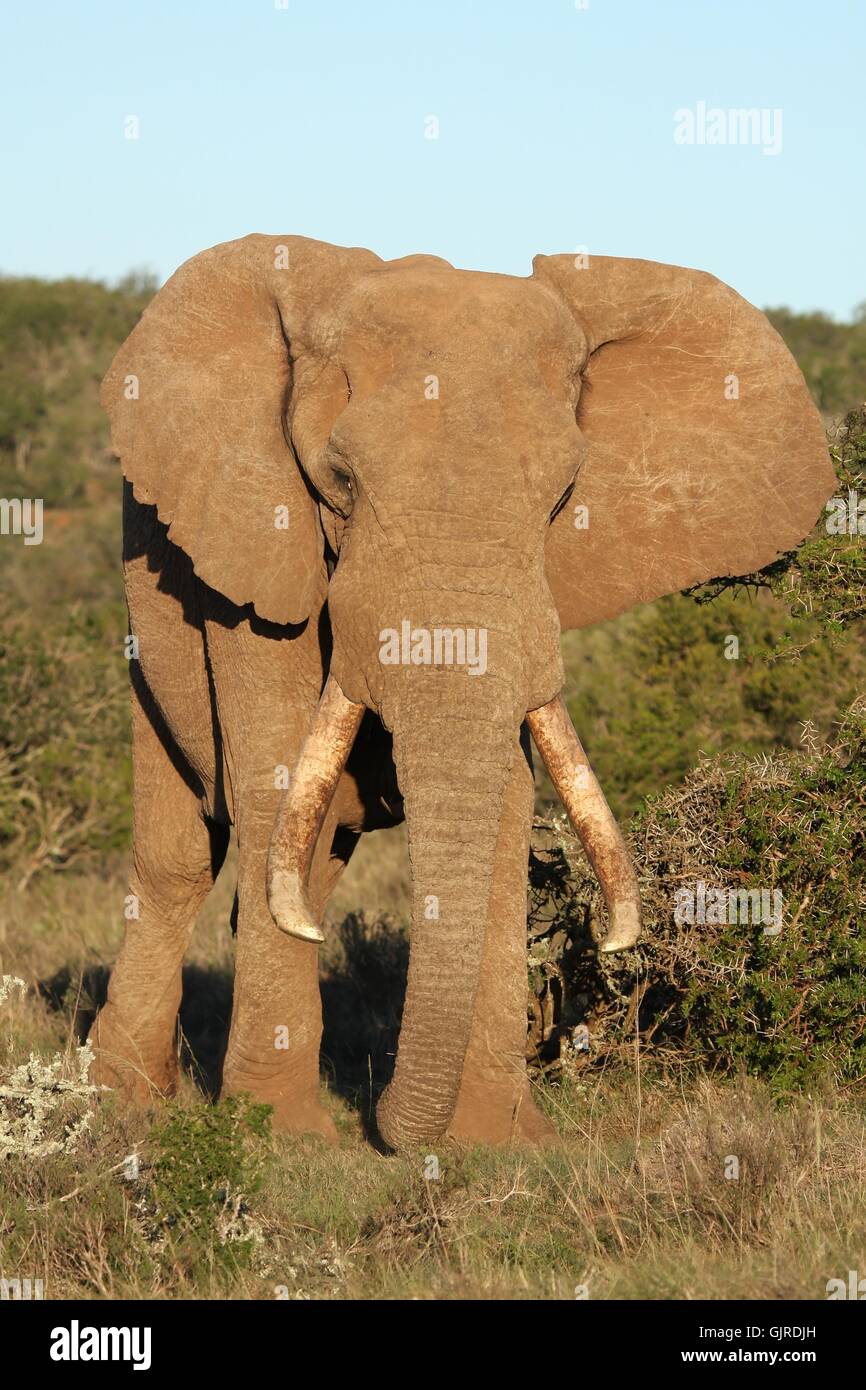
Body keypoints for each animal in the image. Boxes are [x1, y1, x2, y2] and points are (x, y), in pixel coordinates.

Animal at [90, 234, 834, 1149]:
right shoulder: (254, 545)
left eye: (562, 495)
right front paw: (283, 1138)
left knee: (306, 866)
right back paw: (121, 1098)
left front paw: (498, 1142)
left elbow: (507, 796)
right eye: (339, 479)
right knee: (179, 859)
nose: (382, 1124)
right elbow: (272, 777)